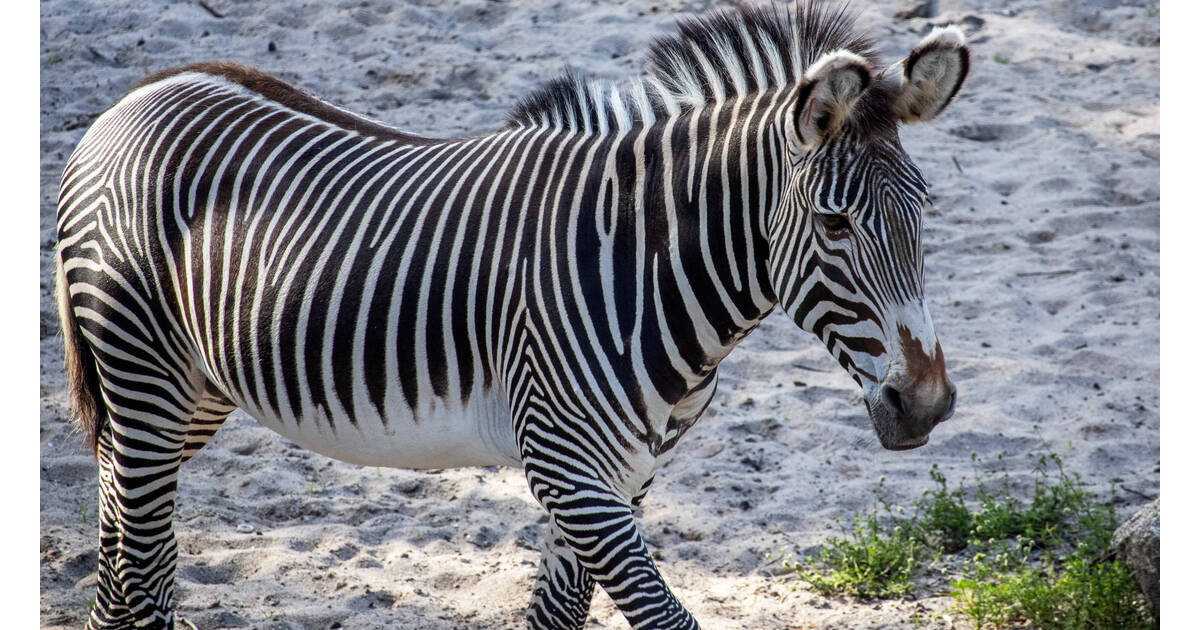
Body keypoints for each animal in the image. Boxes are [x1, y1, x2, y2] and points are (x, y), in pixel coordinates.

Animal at [55, 2, 967, 628]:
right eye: (836, 225)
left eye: (925, 210)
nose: (925, 405)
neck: (645, 268)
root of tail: (135, 97)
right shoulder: (569, 468)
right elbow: (665, 616)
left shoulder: (622, 477)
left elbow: (559, 614)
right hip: (144, 377)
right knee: (141, 562)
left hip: (188, 393)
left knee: (122, 539)